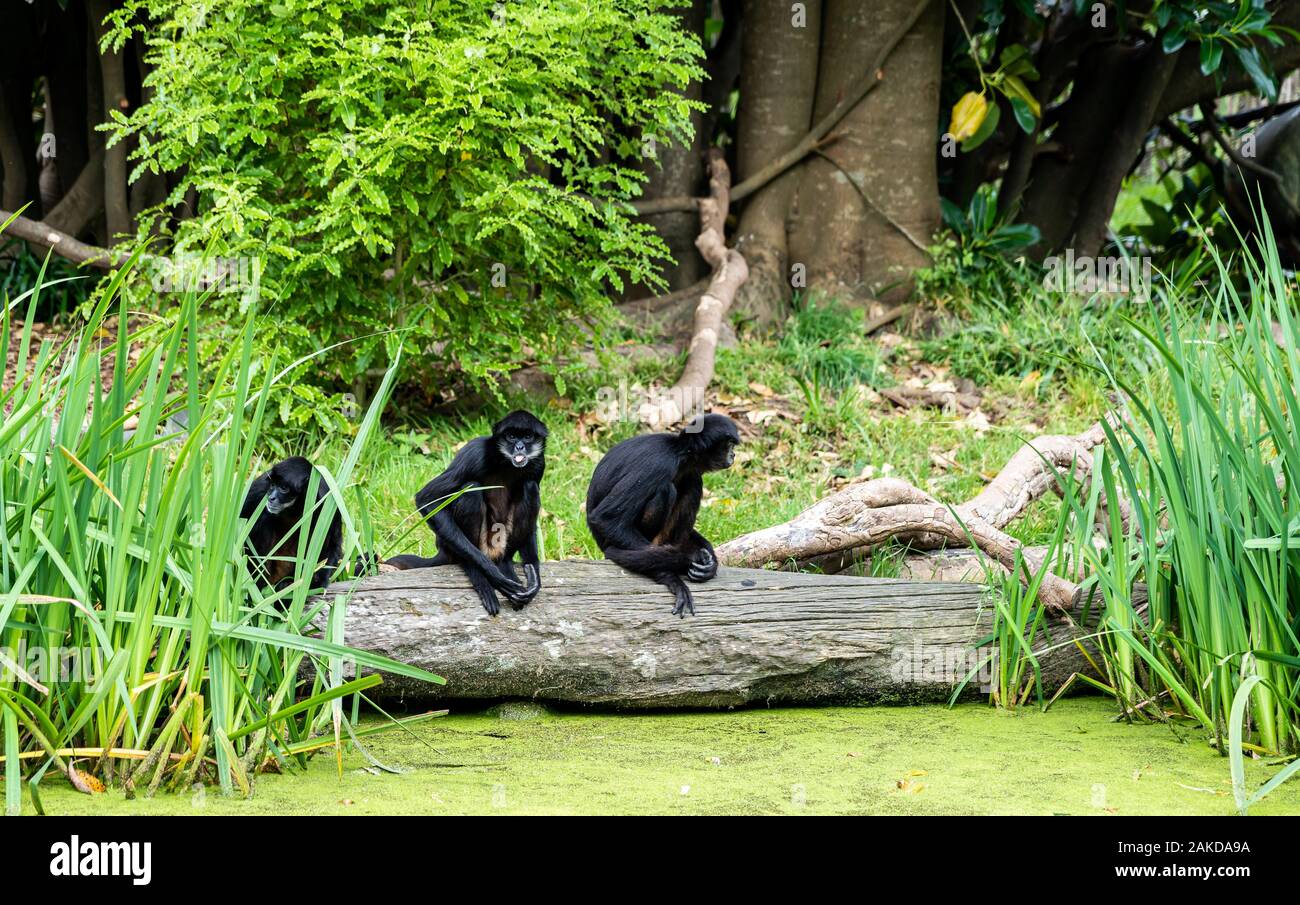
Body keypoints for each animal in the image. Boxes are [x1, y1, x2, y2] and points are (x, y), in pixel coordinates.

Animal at [241, 456, 342, 594]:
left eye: (283, 488)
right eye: (272, 485)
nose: (271, 497)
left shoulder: (327, 497)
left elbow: (334, 543)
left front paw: (317, 581)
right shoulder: (261, 488)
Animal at [386, 410, 547, 616]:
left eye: (527, 437)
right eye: (511, 436)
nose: (520, 447)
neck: (506, 464)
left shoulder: (539, 464)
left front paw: (534, 577)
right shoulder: (475, 452)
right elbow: (426, 500)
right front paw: (493, 576)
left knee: (530, 486)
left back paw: (504, 563)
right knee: (470, 488)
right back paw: (477, 572)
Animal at [585, 413, 740, 617]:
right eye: (729, 444)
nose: (733, 455)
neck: (680, 452)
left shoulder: (689, 469)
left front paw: (710, 563)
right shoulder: (659, 464)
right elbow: (606, 519)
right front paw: (680, 567)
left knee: (692, 484)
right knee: (666, 489)